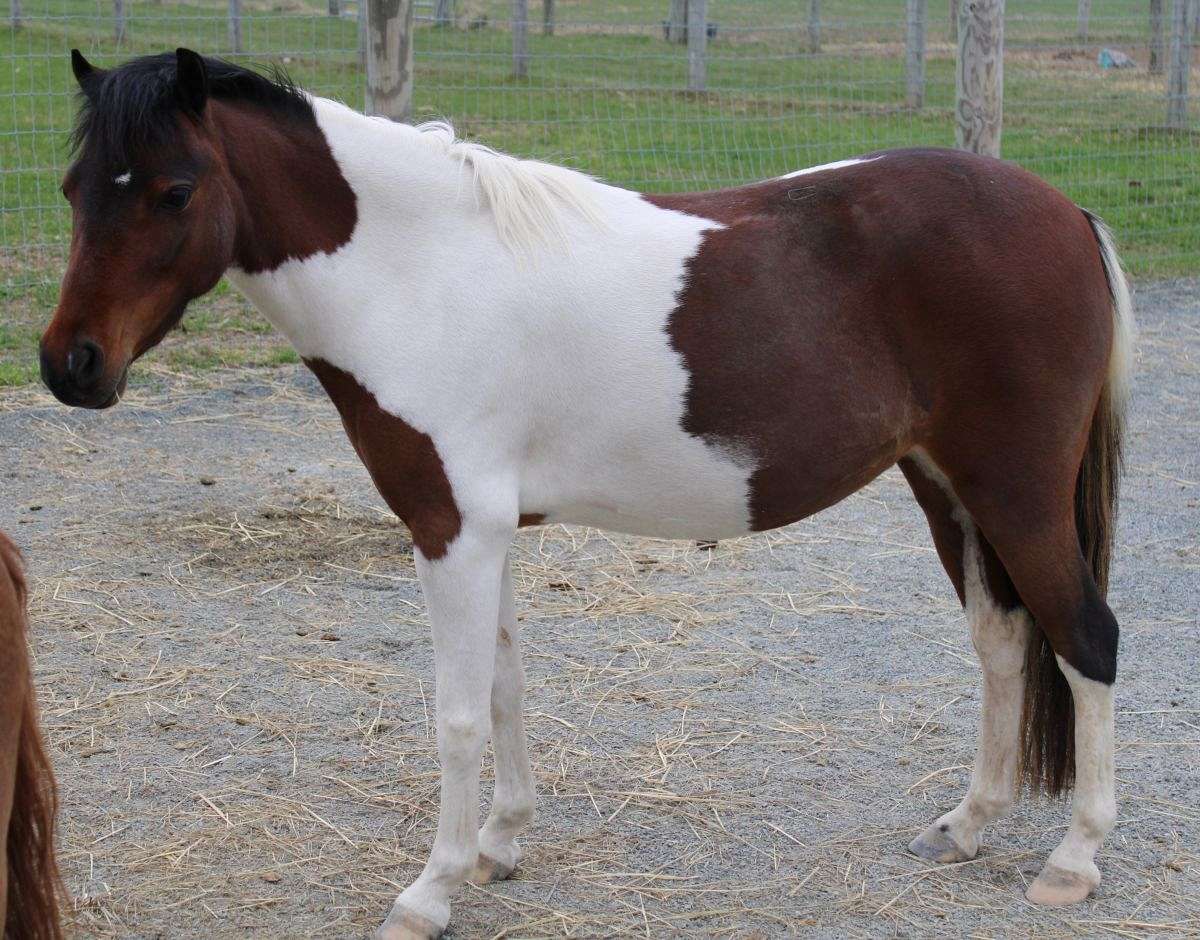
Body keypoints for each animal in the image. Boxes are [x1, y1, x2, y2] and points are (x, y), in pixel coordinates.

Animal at [41, 49, 1134, 938]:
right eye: (74, 189)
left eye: (175, 191)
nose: (69, 366)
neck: (422, 275)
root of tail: (1064, 213)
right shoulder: (485, 533)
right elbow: (506, 686)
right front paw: (499, 847)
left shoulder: (450, 530)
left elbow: (458, 713)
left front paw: (430, 892)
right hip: (949, 487)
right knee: (1003, 642)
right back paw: (967, 825)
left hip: (1017, 493)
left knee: (1086, 640)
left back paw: (1072, 862)